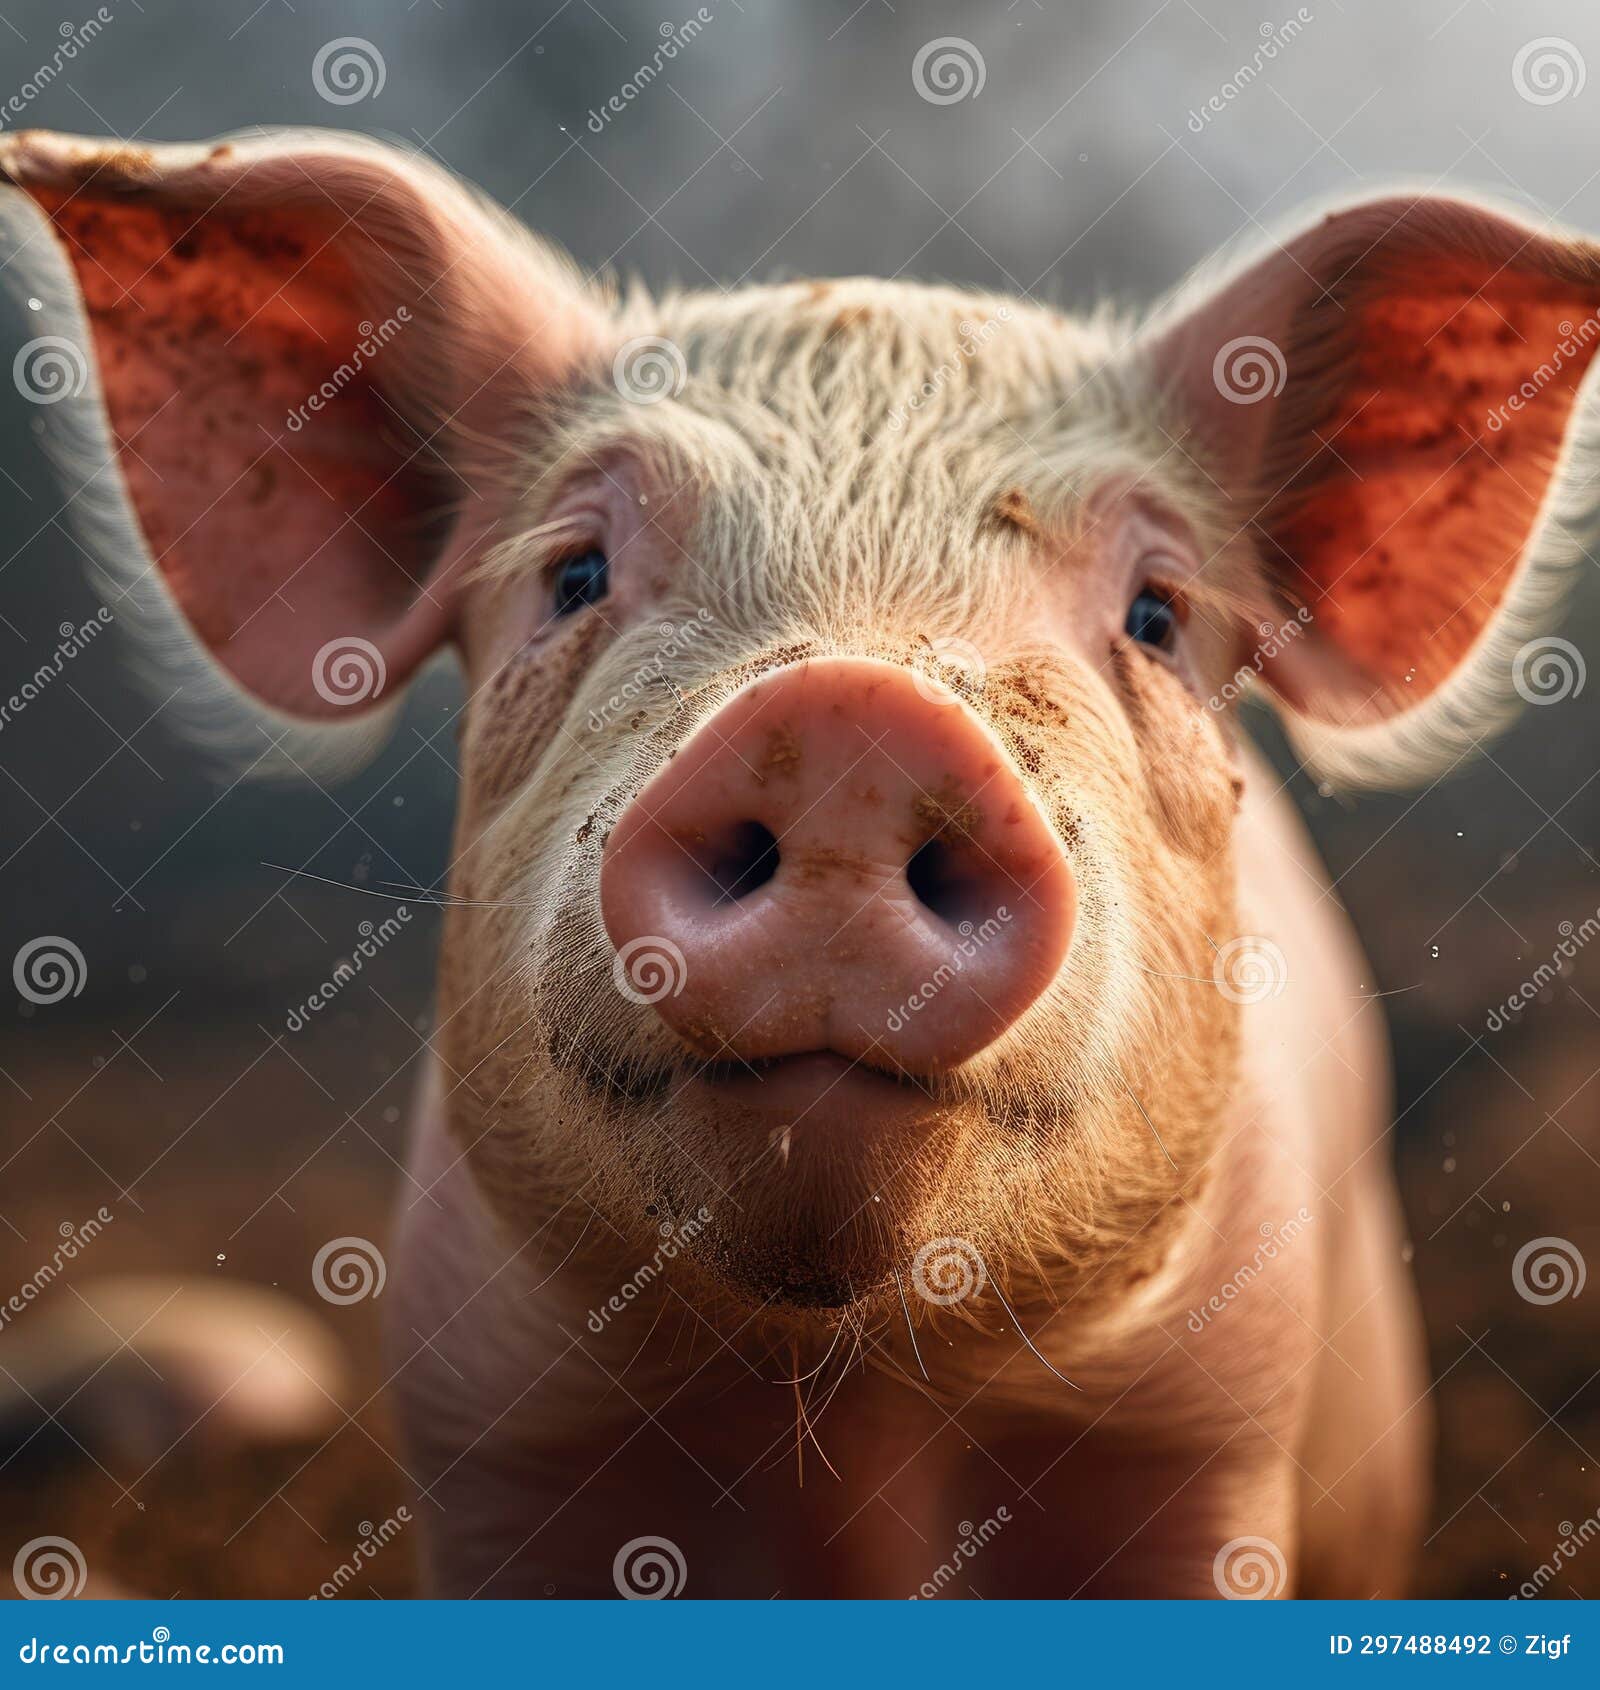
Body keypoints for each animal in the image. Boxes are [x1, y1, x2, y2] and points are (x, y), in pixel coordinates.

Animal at [4, 127, 1596, 1599]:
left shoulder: (1196, 1439)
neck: (852, 1421)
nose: (849, 715)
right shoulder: (497, 1428)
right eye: (573, 574)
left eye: (1157, 612)